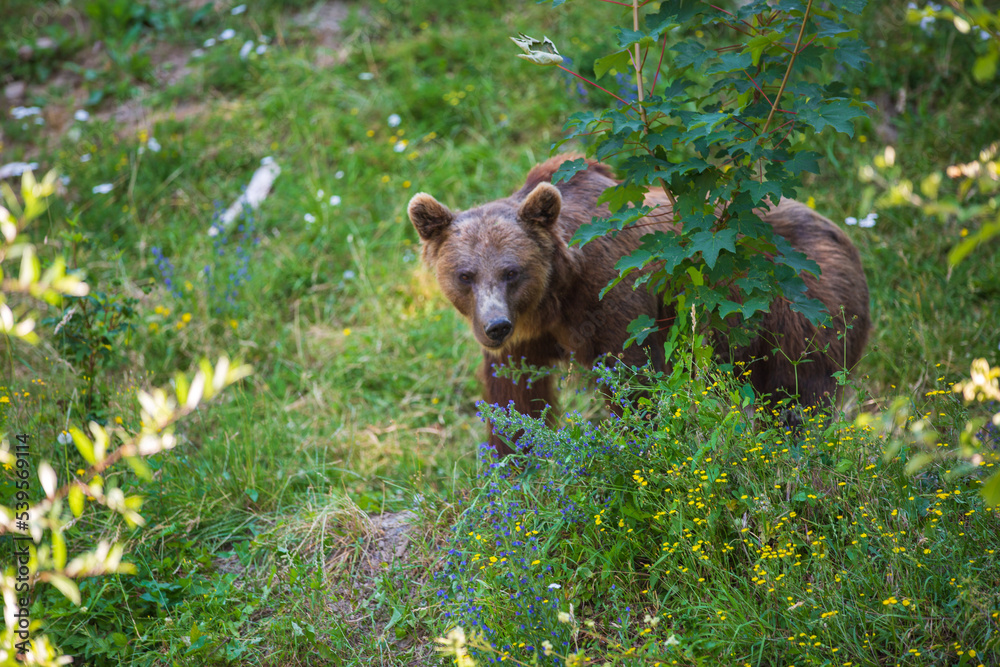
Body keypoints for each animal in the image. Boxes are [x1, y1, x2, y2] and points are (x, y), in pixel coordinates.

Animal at [407, 154, 871, 457]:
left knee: (797, 392)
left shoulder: (619, 302)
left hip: (802, 304)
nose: (495, 325)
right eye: (465, 275)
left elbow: (635, 385)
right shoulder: (525, 340)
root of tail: (843, 234)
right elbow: (515, 398)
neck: (556, 298)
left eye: (511, 271)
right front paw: (511, 464)